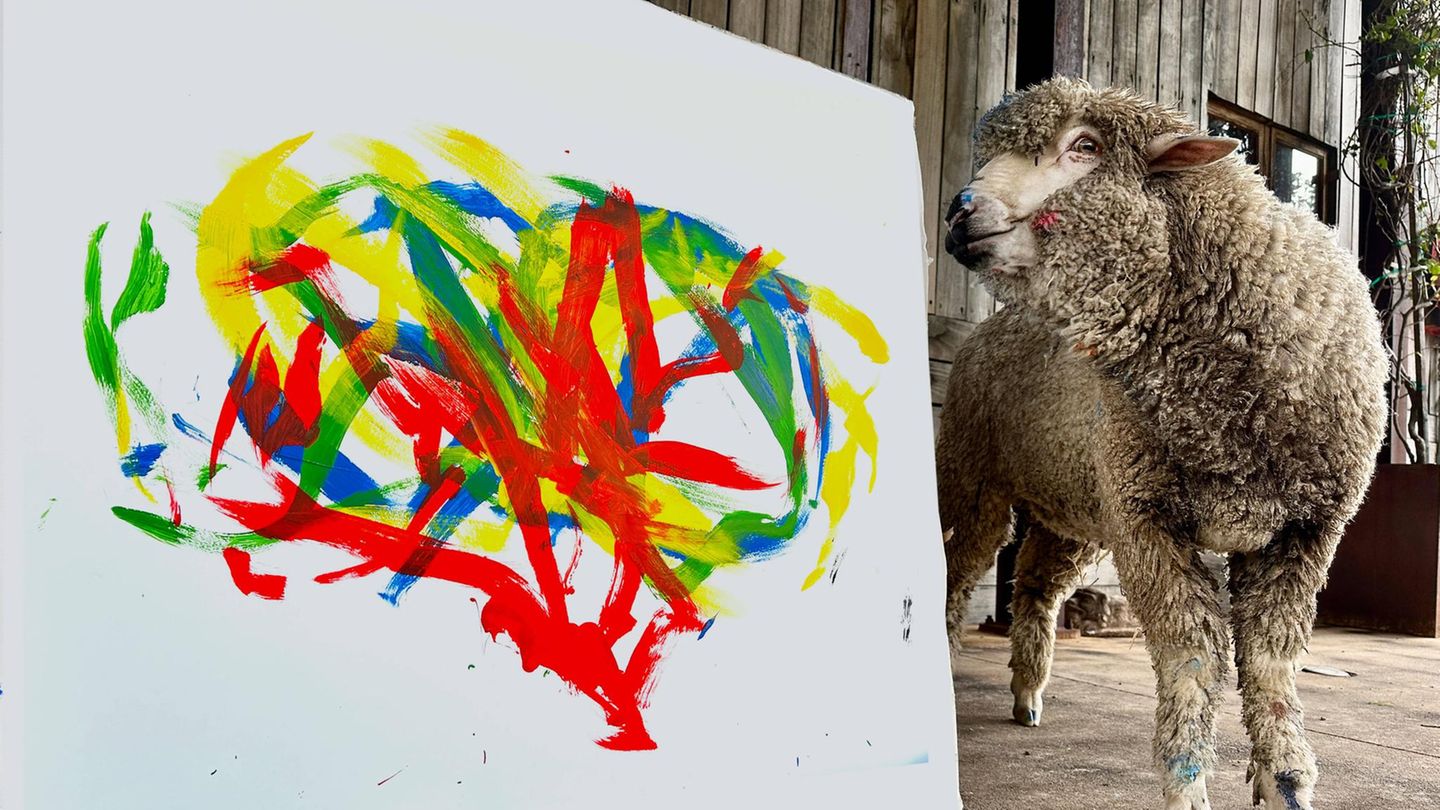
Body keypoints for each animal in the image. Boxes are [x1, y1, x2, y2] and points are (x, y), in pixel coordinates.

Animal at [935, 77, 1387, 810]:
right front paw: (1188, 781)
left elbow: (1272, 659)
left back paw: (1028, 692)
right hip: (975, 476)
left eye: (1084, 147)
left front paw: (1286, 781)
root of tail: (988, 328)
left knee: (1036, 582)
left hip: (1075, 499)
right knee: (956, 570)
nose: (959, 210)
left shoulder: (1307, 530)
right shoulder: (1148, 520)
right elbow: (1192, 653)